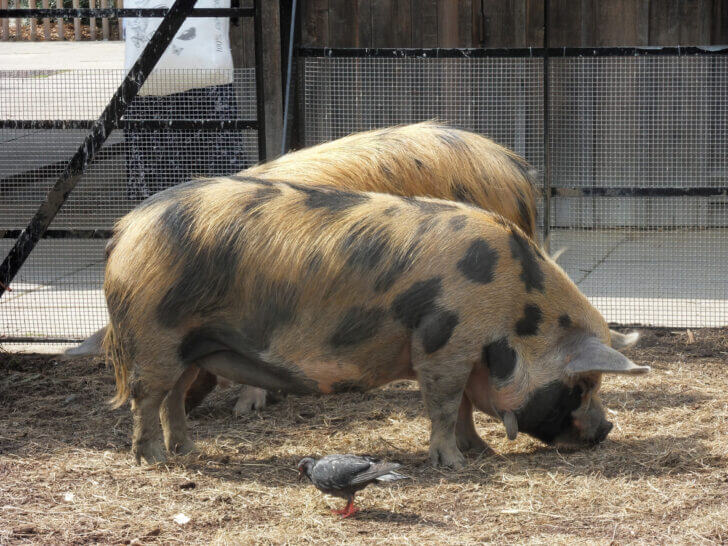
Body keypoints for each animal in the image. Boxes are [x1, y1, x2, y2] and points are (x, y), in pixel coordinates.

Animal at [103, 176, 649, 467]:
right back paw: (154, 460)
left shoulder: (466, 352)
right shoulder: (443, 342)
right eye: (582, 384)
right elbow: (443, 405)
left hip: (192, 348)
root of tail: (125, 228)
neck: (512, 314)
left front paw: (483, 455)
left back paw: (187, 452)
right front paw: (454, 465)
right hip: (155, 334)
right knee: (146, 398)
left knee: (173, 398)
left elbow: (465, 407)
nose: (606, 429)